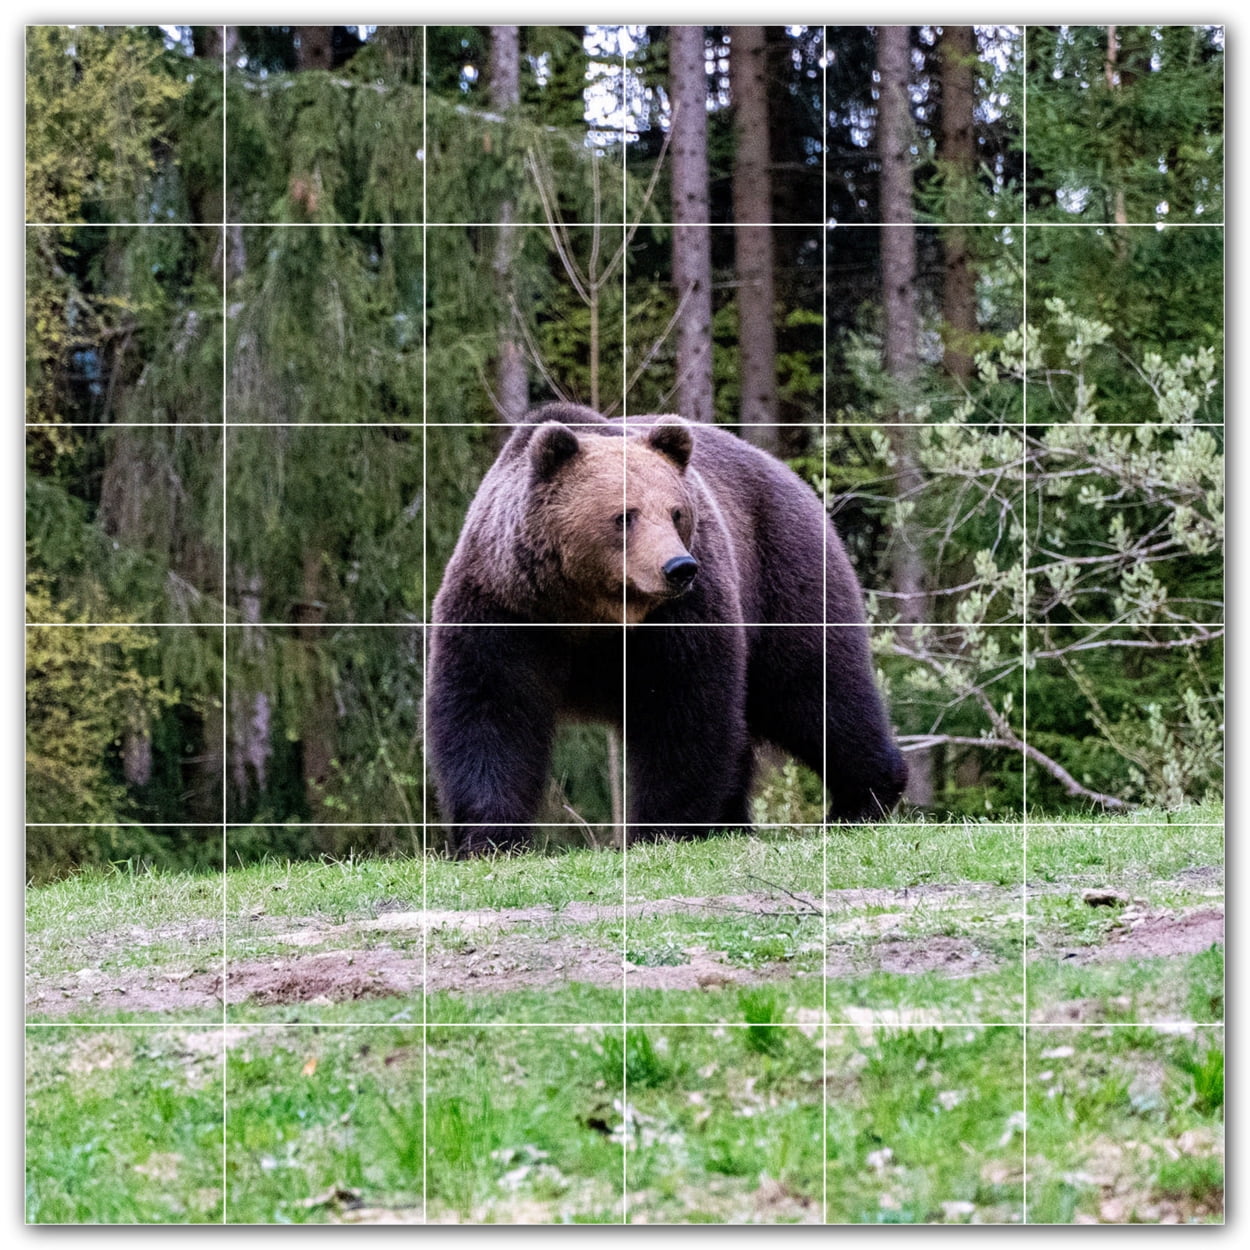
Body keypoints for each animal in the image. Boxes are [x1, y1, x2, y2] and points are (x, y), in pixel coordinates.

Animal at [427, 402, 907, 857]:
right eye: (625, 516)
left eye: (676, 513)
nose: (678, 567)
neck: (591, 609)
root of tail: (789, 476)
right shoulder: (506, 609)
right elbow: (489, 710)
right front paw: (488, 838)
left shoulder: (679, 617)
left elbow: (682, 711)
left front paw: (661, 829)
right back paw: (736, 822)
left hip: (783, 576)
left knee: (816, 693)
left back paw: (862, 800)